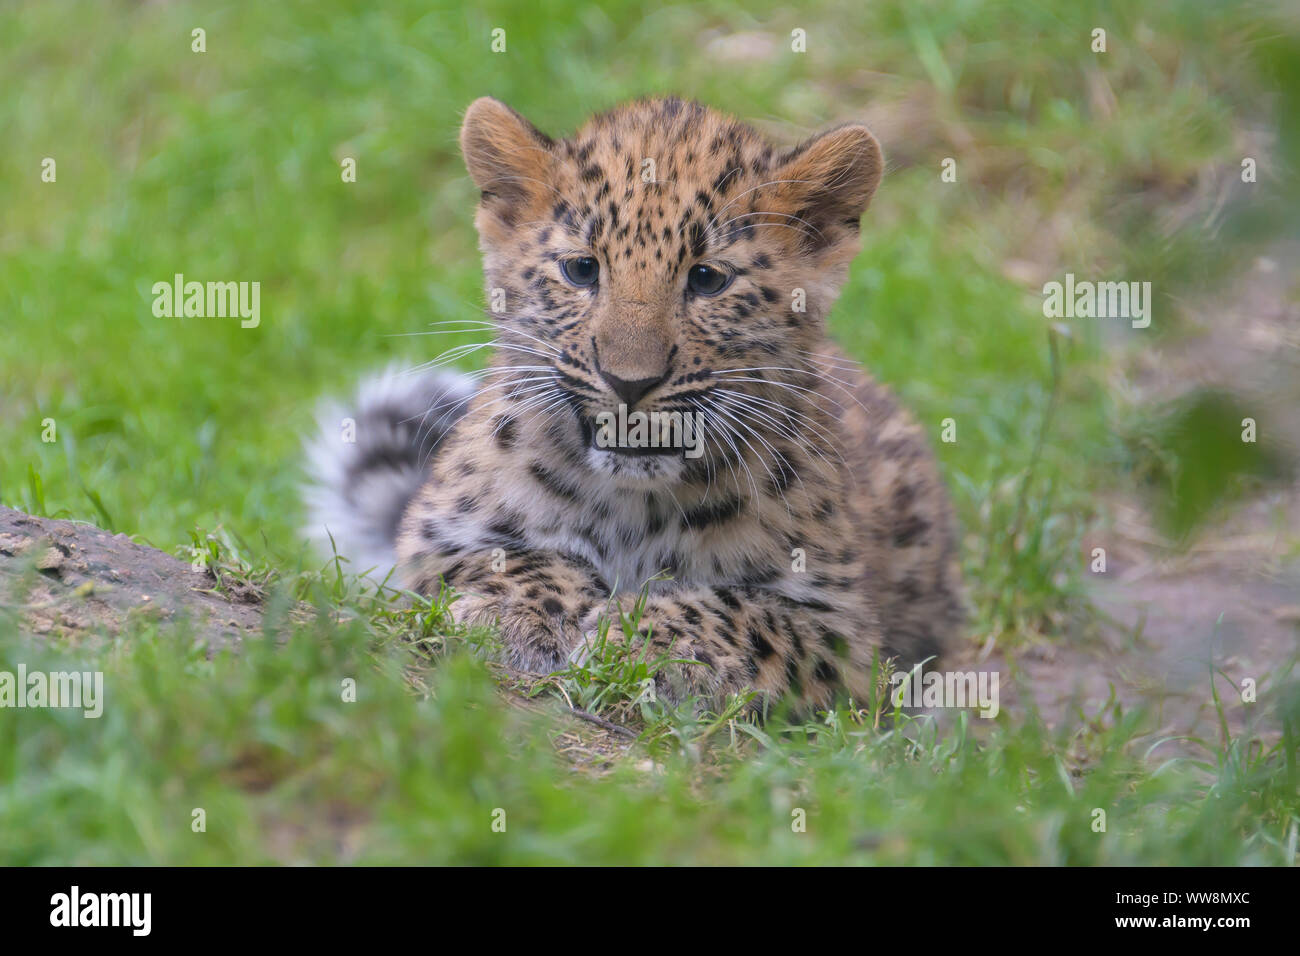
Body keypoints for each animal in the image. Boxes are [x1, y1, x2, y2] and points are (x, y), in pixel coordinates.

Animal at [304, 96, 965, 715]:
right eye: (581, 269)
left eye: (707, 279)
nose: (628, 382)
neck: (634, 506)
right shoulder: (437, 536)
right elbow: (515, 558)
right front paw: (522, 618)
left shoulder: (840, 626)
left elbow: (741, 616)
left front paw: (639, 643)